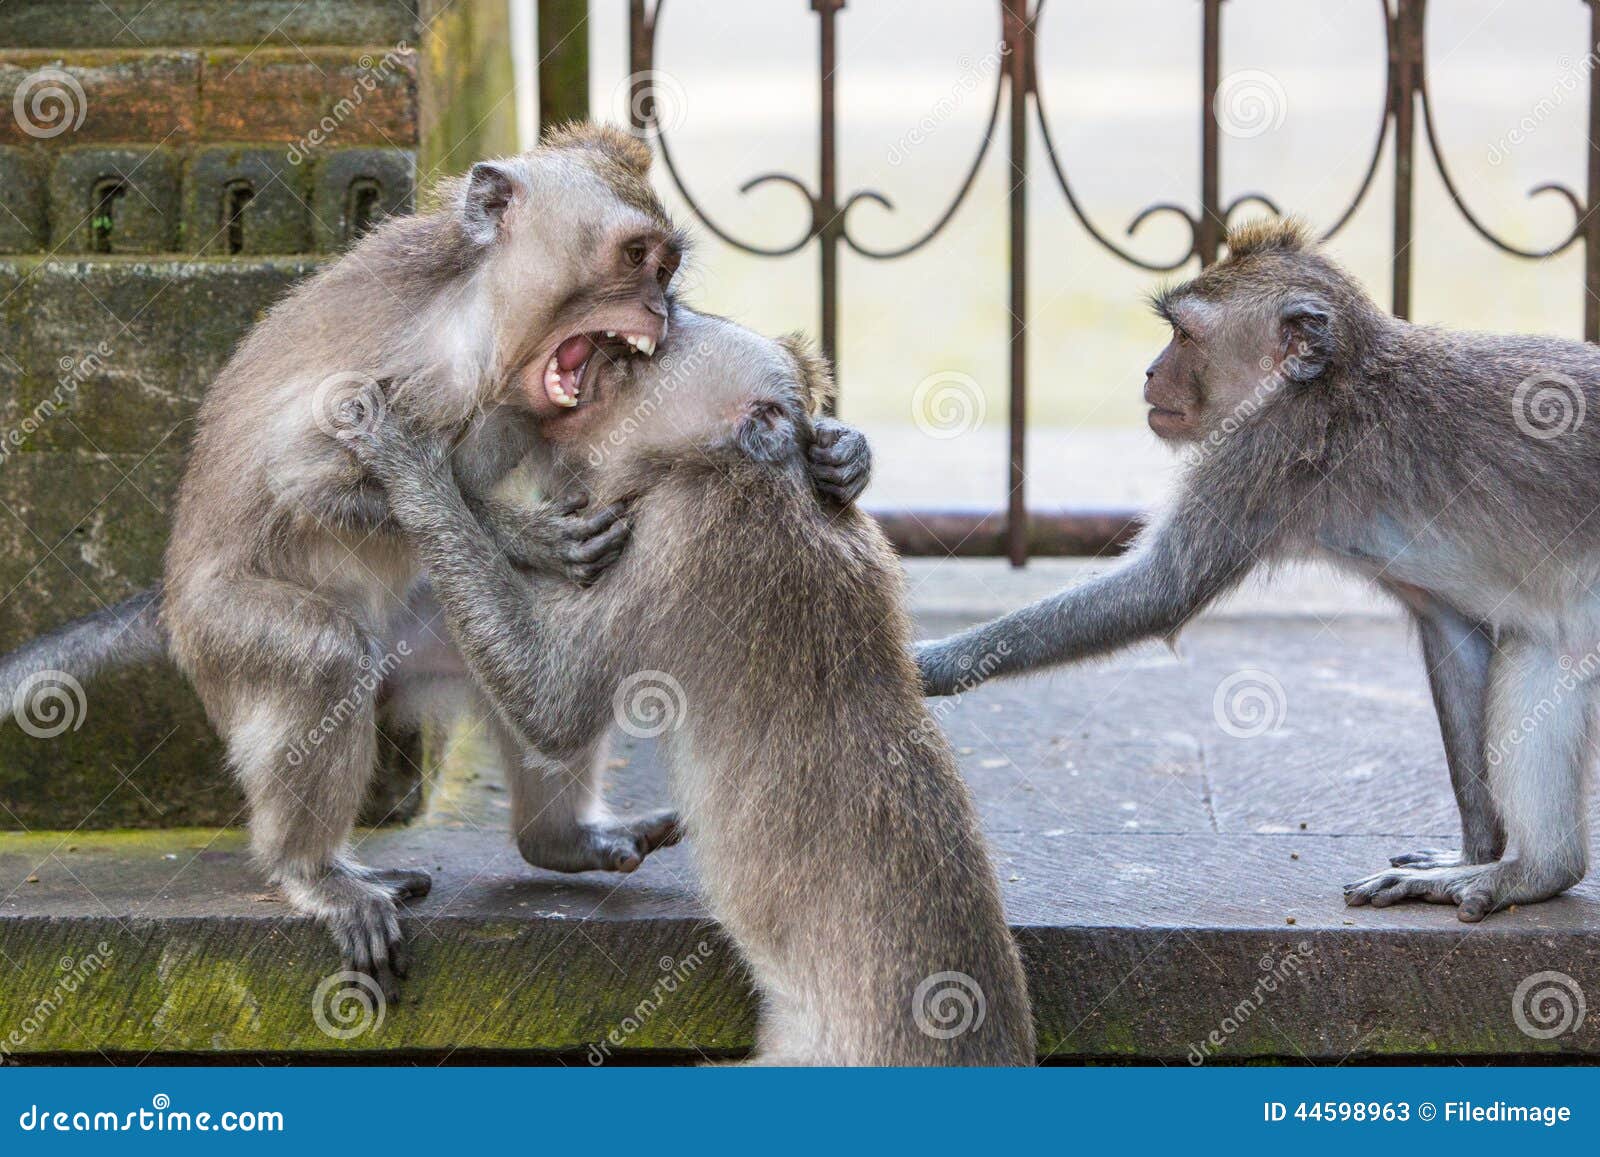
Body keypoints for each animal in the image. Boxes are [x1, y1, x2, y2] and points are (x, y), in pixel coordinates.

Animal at [0, 124, 874, 998]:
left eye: (665, 267)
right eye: (635, 258)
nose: (661, 308)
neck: (481, 325)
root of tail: (172, 604)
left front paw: (841, 456)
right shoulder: (406, 374)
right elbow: (309, 480)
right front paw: (528, 533)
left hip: (433, 630)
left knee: (518, 658)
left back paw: (558, 837)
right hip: (225, 632)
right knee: (325, 655)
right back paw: (315, 872)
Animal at [328, 306, 1035, 1065]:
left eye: (658, 349)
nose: (640, 328)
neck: (747, 470)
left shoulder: (674, 535)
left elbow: (553, 704)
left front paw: (410, 464)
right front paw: (844, 453)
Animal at [916, 216, 1600, 922]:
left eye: (1185, 336)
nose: (1150, 371)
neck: (1328, 380)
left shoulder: (1258, 451)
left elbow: (1159, 592)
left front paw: (930, 665)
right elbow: (1456, 637)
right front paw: (1472, 851)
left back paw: (1523, 874)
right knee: (1544, 655)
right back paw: (1540, 872)